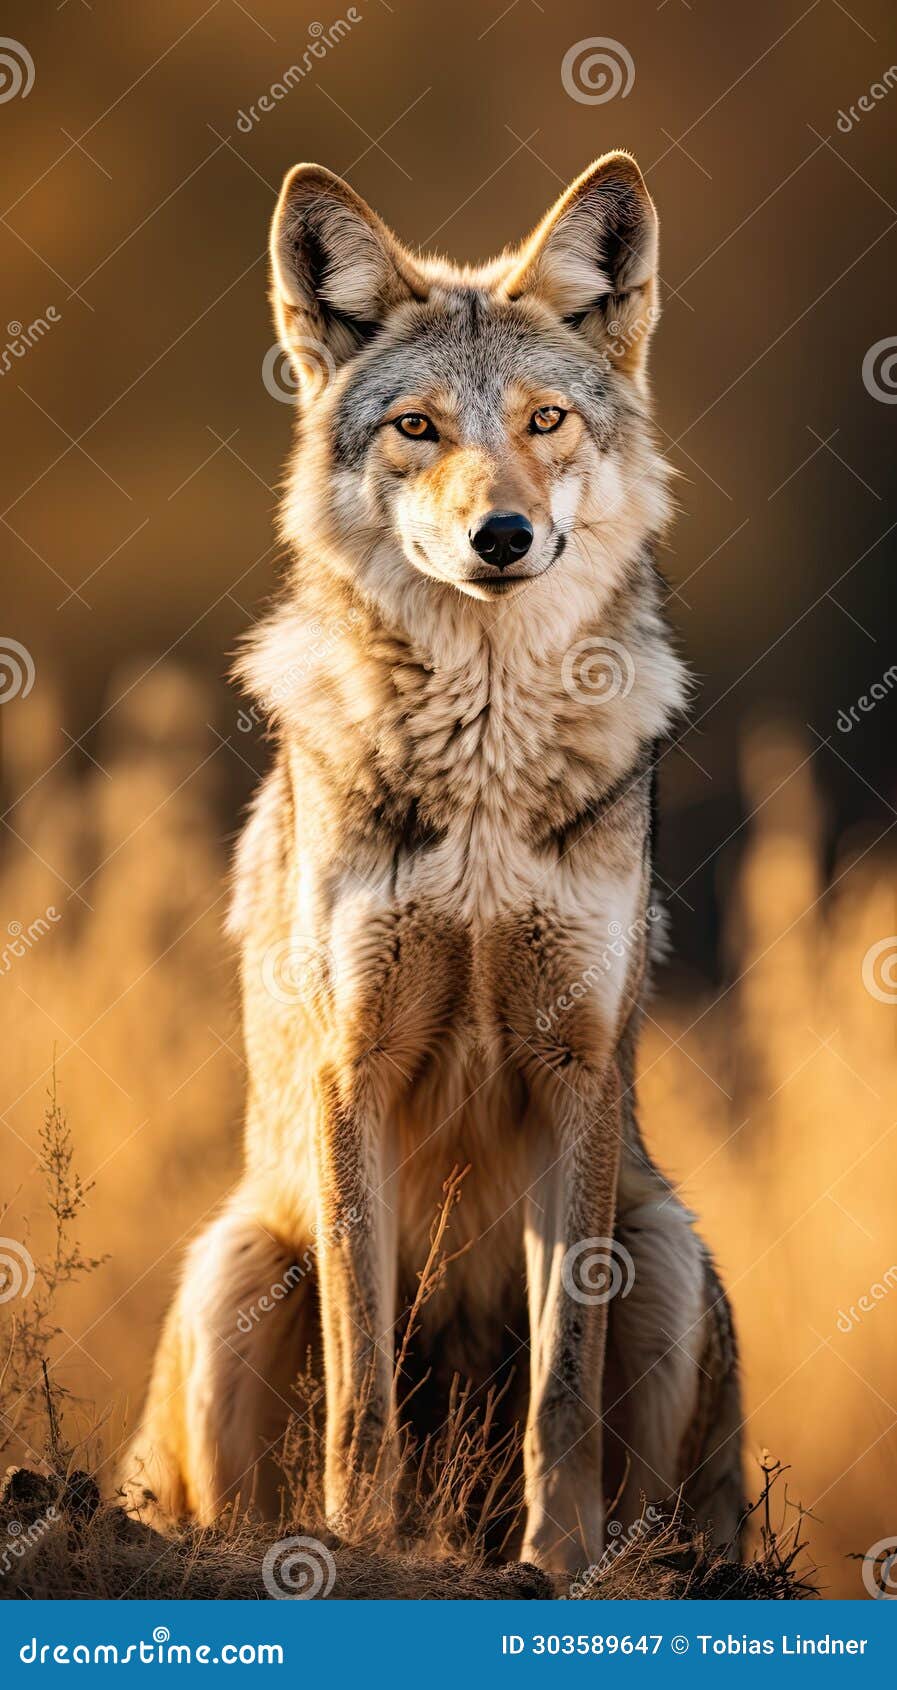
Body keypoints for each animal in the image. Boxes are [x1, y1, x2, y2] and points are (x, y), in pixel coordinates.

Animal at [123, 152, 743, 1573]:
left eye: (545, 420)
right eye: (416, 428)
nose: (501, 535)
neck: (483, 756)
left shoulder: (577, 1066)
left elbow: (562, 1388)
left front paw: (555, 1565)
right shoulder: (353, 1070)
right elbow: (362, 1379)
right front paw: (356, 1543)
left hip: (668, 1251)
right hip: (239, 1261)